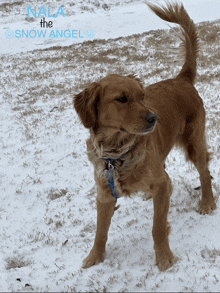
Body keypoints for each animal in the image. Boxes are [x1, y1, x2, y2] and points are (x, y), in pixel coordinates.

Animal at [72, 1, 217, 270]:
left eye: (142, 96)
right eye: (122, 99)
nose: (153, 118)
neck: (118, 153)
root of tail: (182, 79)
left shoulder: (162, 183)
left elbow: (157, 227)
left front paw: (164, 258)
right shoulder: (104, 193)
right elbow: (100, 231)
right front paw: (95, 257)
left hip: (194, 142)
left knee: (204, 172)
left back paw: (207, 203)